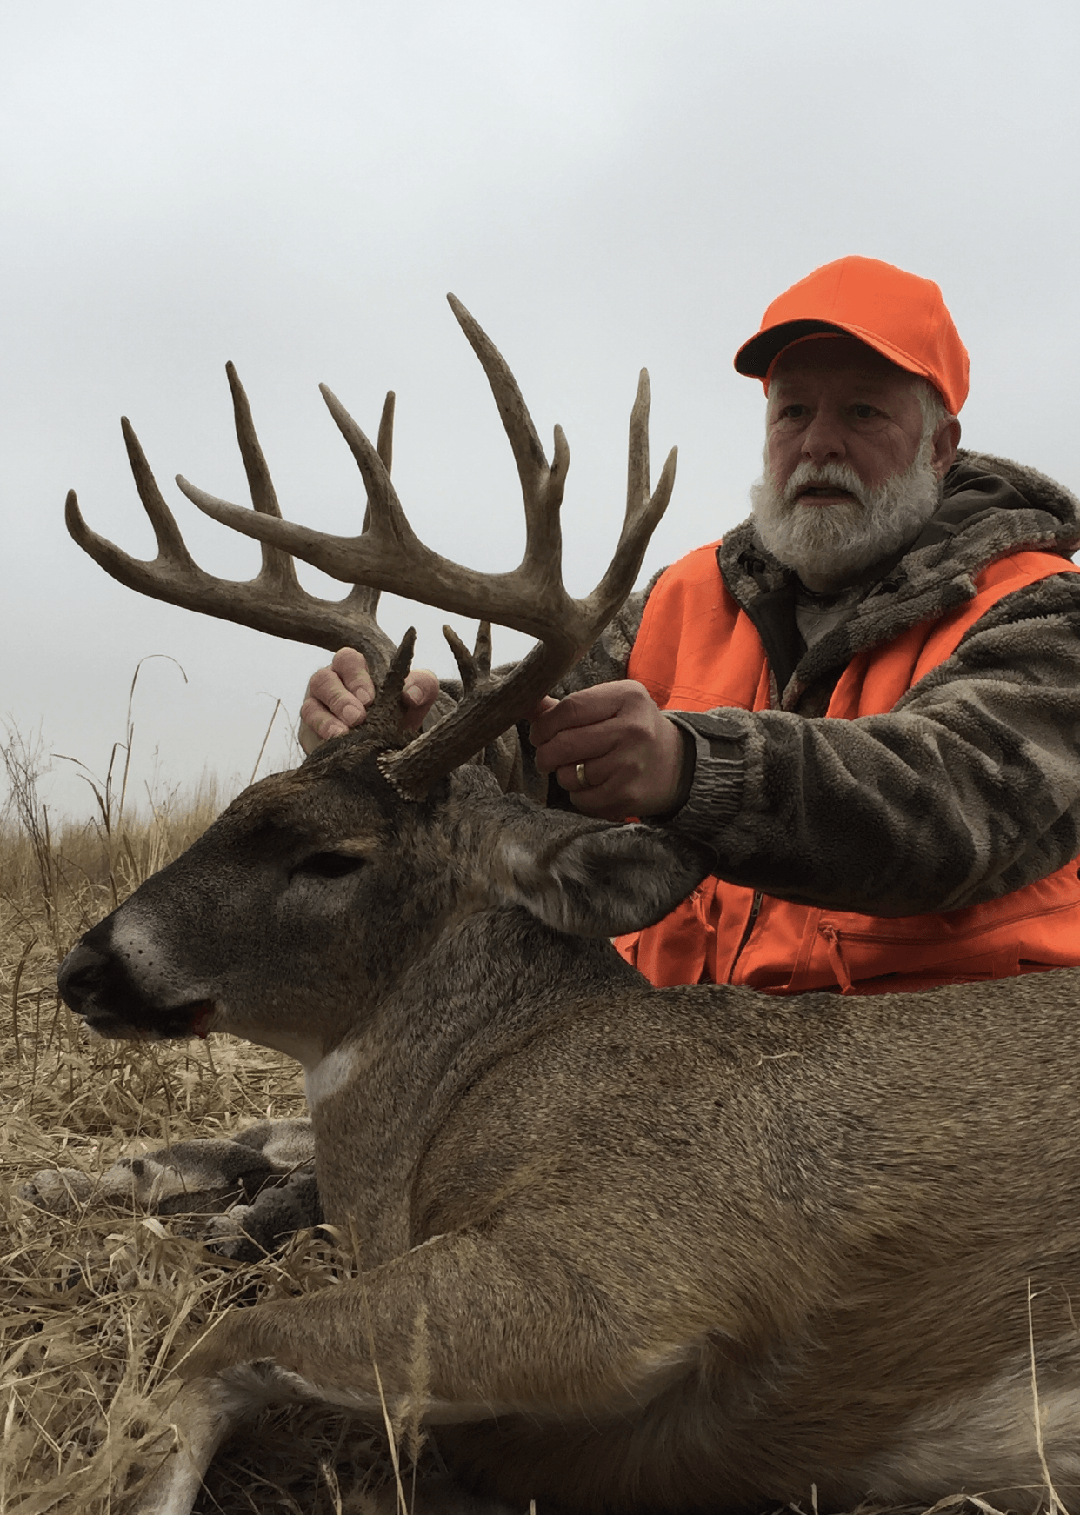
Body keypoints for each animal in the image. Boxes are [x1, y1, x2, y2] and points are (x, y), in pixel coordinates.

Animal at [56, 296, 1080, 1515]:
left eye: (330, 858)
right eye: (243, 799)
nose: (86, 965)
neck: (473, 1090)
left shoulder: (621, 1265)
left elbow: (219, 1347)